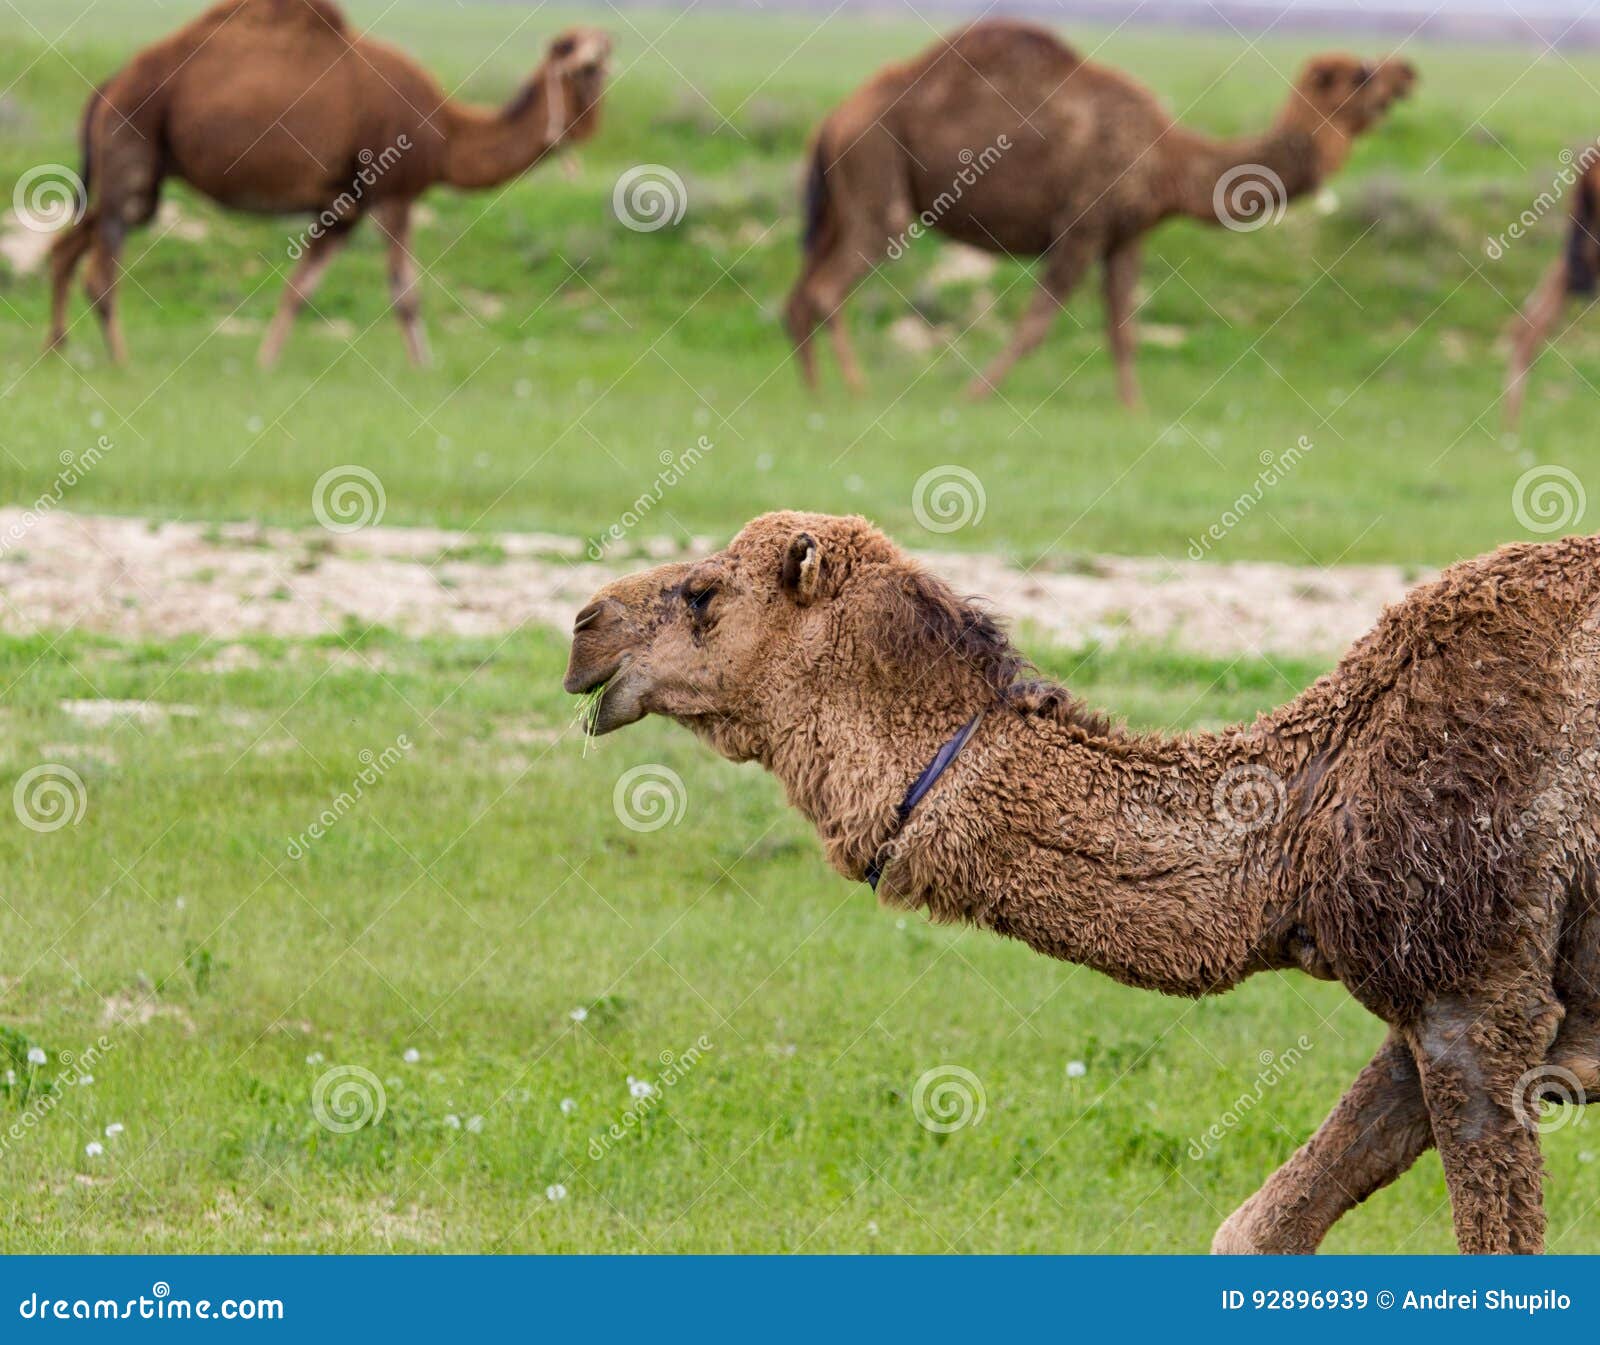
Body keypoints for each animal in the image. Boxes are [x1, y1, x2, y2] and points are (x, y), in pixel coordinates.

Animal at [45, 0, 610, 367]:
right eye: (568, 47)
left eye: (607, 50)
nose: (592, 61)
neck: (448, 134)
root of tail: (108, 85)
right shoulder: (392, 192)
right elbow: (405, 292)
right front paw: (426, 370)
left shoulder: (345, 206)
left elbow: (300, 289)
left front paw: (265, 364)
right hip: (133, 145)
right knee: (101, 263)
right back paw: (121, 361)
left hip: (141, 176)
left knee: (69, 244)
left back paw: (57, 348)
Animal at [565, 510, 1600, 1254]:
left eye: (702, 593)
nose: (583, 625)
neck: (1302, 816)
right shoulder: (1454, 1003)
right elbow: (1255, 1230)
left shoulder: (1474, 996)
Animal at [787, 21, 1415, 402]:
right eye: (1361, 75)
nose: (1408, 73)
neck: (1168, 159)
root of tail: (834, 118)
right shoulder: (1083, 226)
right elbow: (1037, 324)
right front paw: (973, 396)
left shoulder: (1127, 235)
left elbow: (1123, 331)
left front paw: (1135, 413)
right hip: (877, 167)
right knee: (830, 285)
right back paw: (852, 391)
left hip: (843, 195)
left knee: (799, 292)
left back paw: (813, 391)